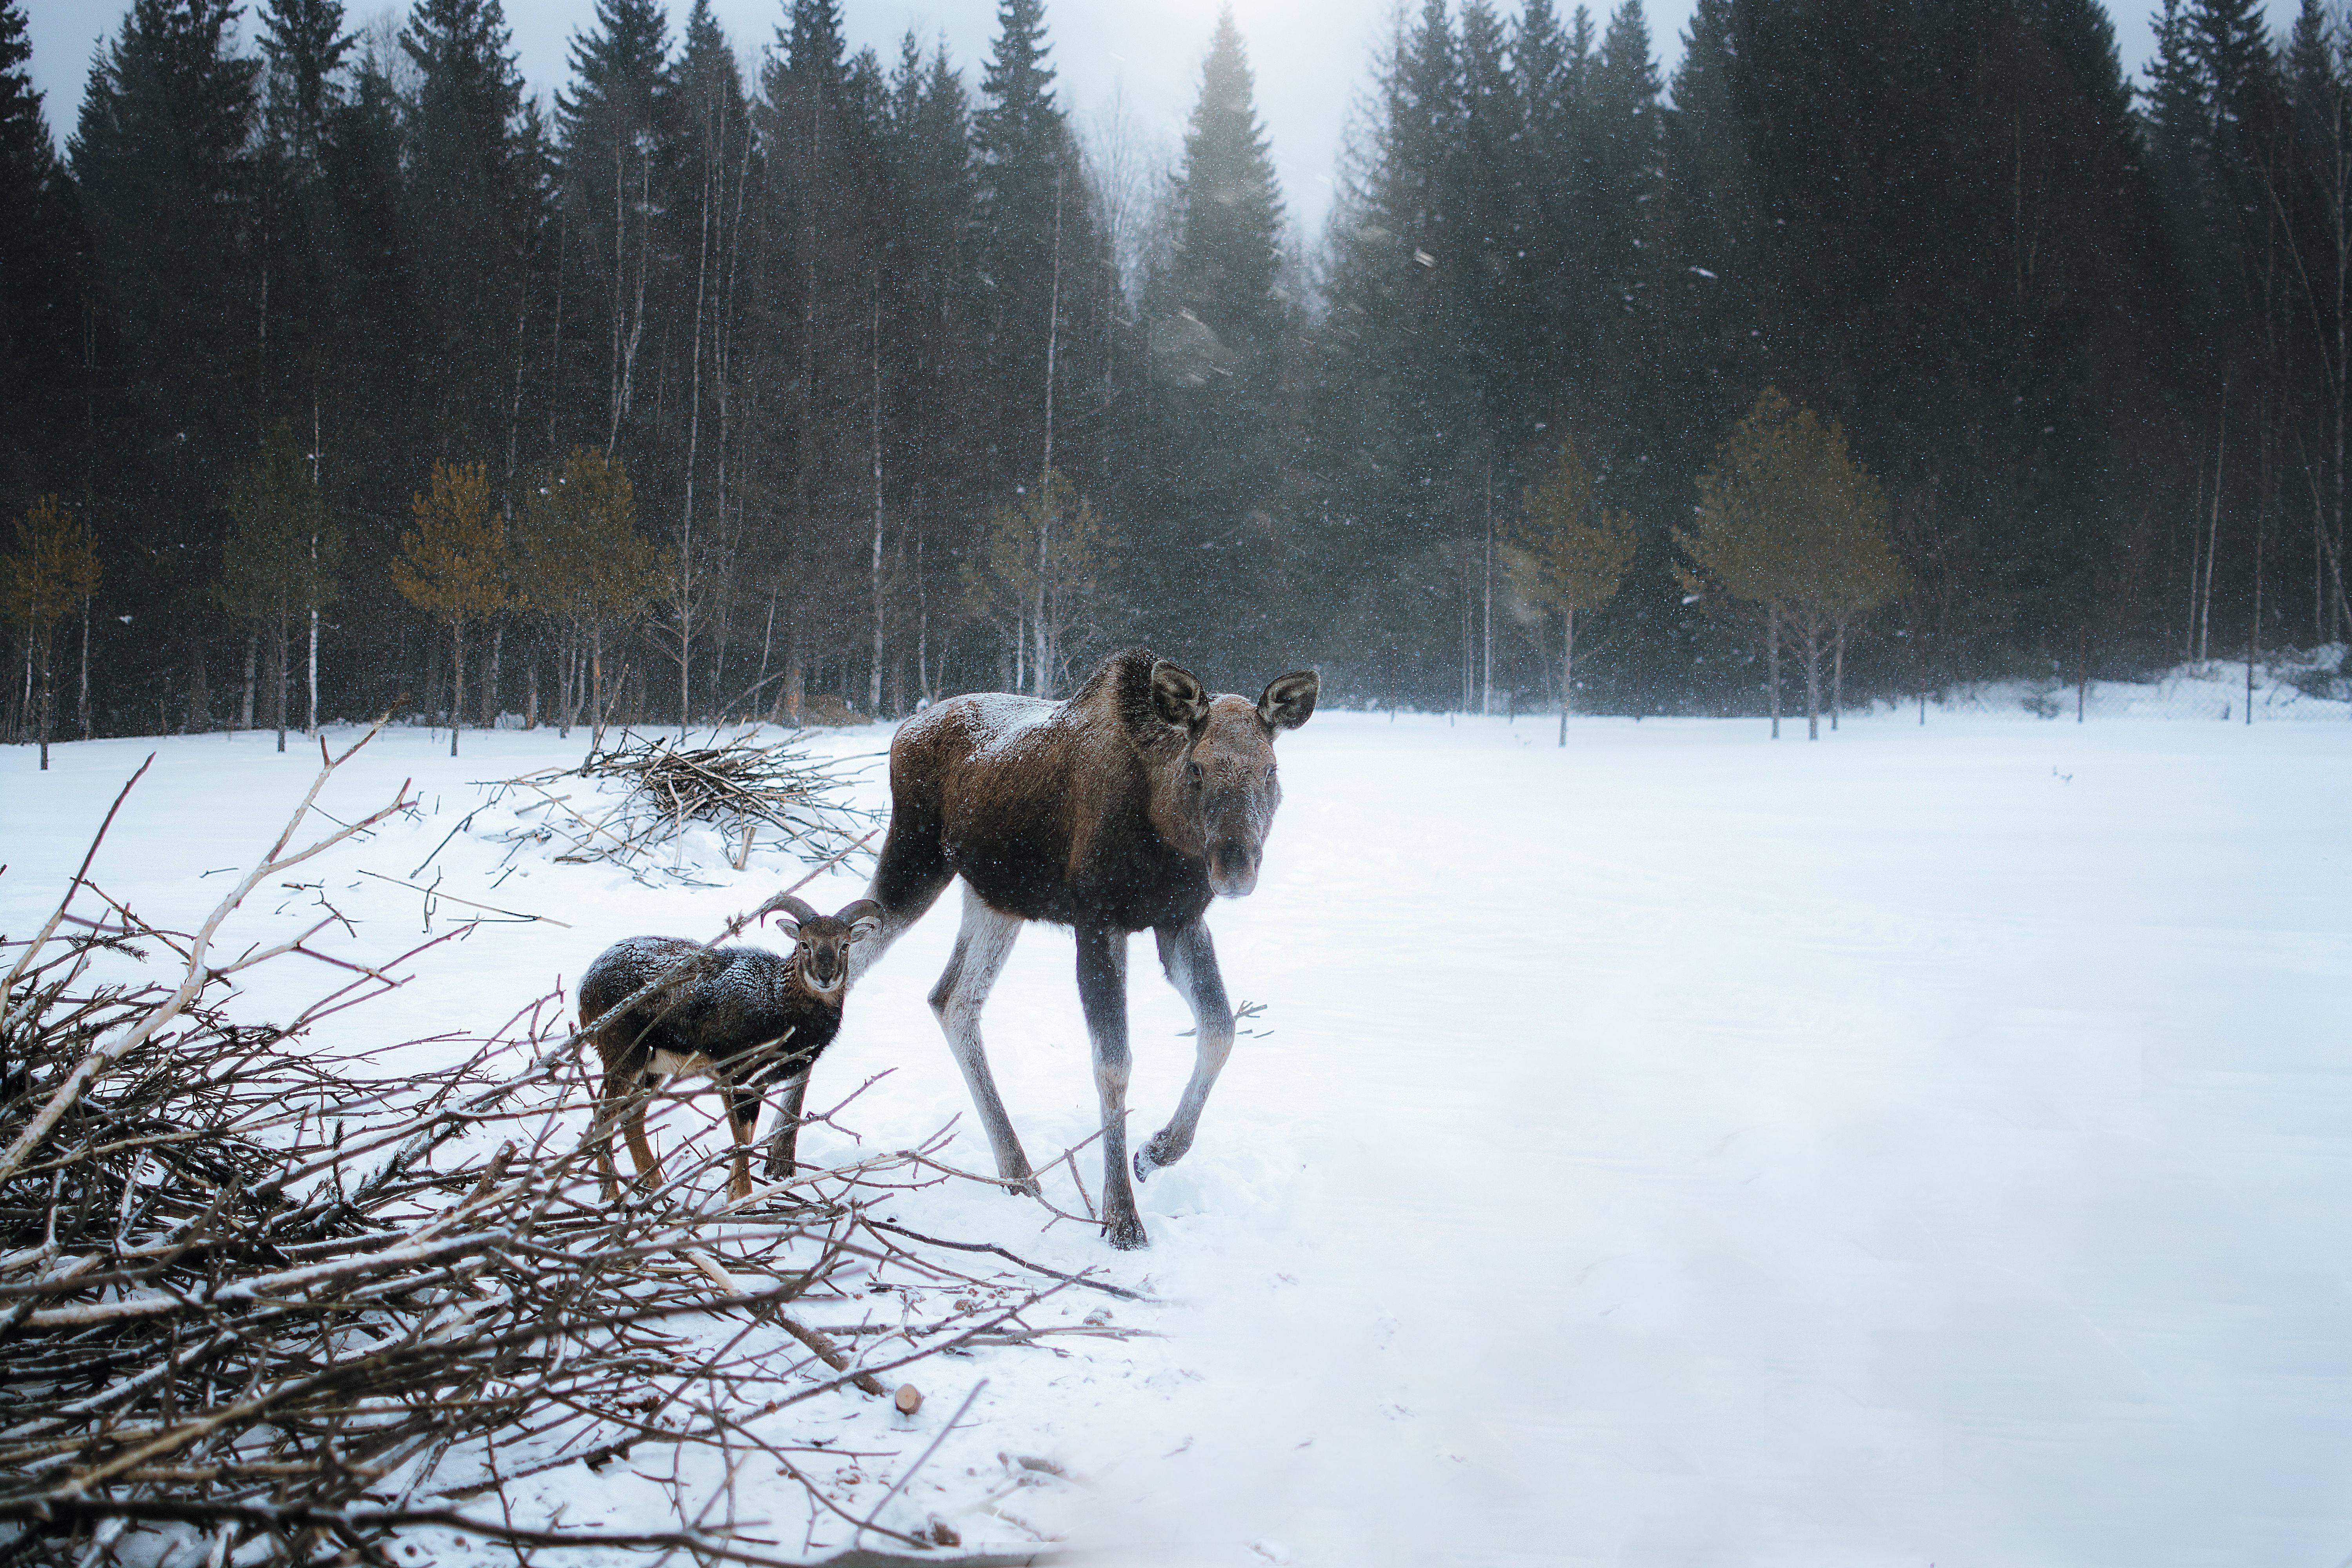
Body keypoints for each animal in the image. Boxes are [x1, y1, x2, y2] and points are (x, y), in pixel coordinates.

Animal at [580, 894, 880, 1202]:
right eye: (804, 943)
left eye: (845, 945)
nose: (825, 977)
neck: (777, 1001)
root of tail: (585, 985)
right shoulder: (733, 1073)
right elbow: (740, 1137)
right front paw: (743, 1199)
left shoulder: (758, 1084)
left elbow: (748, 1134)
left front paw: (734, 1195)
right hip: (624, 1056)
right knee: (603, 1116)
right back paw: (612, 1194)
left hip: (653, 1069)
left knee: (631, 1118)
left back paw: (655, 1187)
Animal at [847, 647, 1317, 1248]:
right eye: (1197, 768)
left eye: (1270, 769)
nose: (1235, 868)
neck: (1164, 832)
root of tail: (903, 730)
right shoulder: (1098, 920)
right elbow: (1113, 1063)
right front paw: (1121, 1216)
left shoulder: (1178, 921)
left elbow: (1220, 1030)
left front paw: (1156, 1151)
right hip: (915, 857)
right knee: (842, 957)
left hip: (996, 897)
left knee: (951, 998)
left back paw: (1018, 1172)